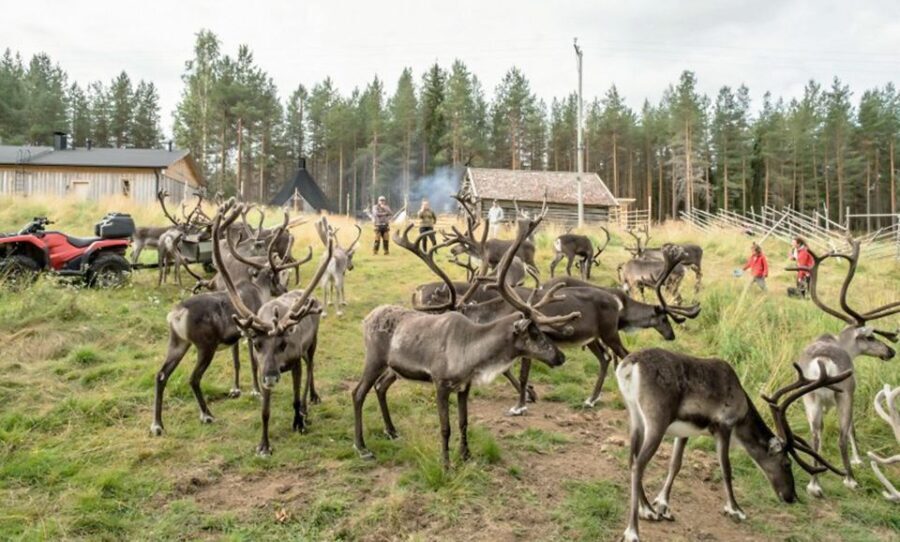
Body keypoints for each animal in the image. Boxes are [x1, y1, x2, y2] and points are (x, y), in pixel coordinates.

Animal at [150, 201, 309, 436]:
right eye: (275, 276)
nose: (284, 289)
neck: (258, 290)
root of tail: (177, 314)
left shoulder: (236, 336)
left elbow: (236, 361)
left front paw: (237, 389)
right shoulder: (251, 333)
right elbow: (253, 362)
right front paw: (255, 391)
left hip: (178, 343)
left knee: (161, 375)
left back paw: (157, 424)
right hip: (205, 346)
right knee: (193, 378)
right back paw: (206, 414)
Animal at [212, 210, 333, 456]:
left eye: (283, 344)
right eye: (258, 344)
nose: (270, 376)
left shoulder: (294, 362)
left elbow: (295, 398)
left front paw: (299, 423)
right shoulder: (262, 366)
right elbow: (264, 412)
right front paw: (264, 445)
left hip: (312, 343)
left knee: (311, 368)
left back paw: (310, 401)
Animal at [351, 211, 581, 468]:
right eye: (533, 333)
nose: (561, 356)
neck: (471, 351)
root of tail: (366, 318)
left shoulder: (464, 386)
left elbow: (463, 422)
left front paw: (466, 455)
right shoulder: (441, 384)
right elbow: (445, 427)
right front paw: (446, 464)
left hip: (393, 367)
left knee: (380, 387)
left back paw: (391, 430)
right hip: (374, 359)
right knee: (358, 393)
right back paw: (361, 447)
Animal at [617, 349, 851, 542]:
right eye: (787, 463)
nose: (791, 497)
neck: (743, 409)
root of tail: (630, 365)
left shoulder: (684, 431)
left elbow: (675, 465)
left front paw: (663, 506)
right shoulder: (724, 426)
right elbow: (726, 470)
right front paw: (735, 509)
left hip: (635, 417)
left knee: (631, 460)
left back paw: (647, 510)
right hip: (657, 420)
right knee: (639, 464)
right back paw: (633, 531)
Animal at [785, 239, 899, 497]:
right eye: (870, 337)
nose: (891, 351)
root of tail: (822, 362)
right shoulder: (850, 389)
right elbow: (852, 429)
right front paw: (858, 461)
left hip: (810, 397)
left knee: (815, 434)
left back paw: (814, 485)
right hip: (843, 393)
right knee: (842, 435)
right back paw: (850, 479)